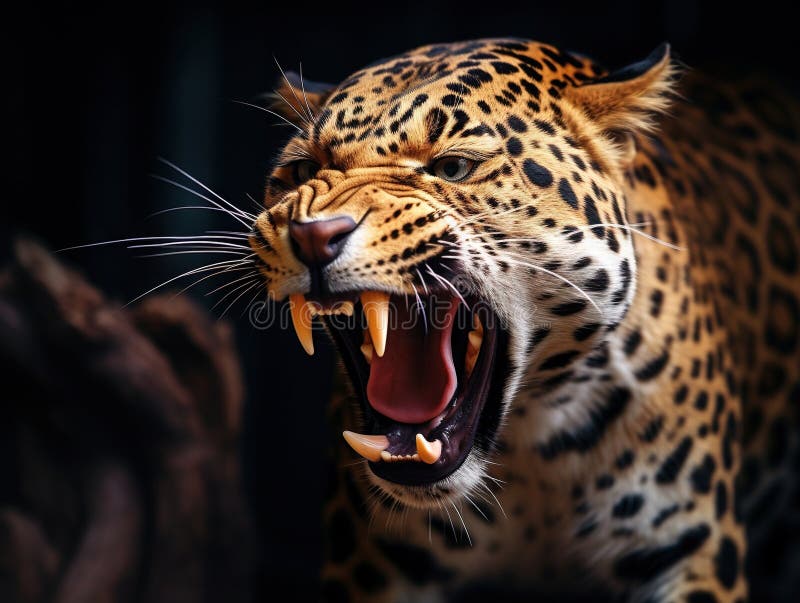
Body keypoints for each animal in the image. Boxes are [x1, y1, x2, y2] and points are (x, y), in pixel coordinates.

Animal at [247, 38, 800, 602]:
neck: (531, 448)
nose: (314, 235)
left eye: (452, 168)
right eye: (302, 171)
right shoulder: (374, 568)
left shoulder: (691, 554)